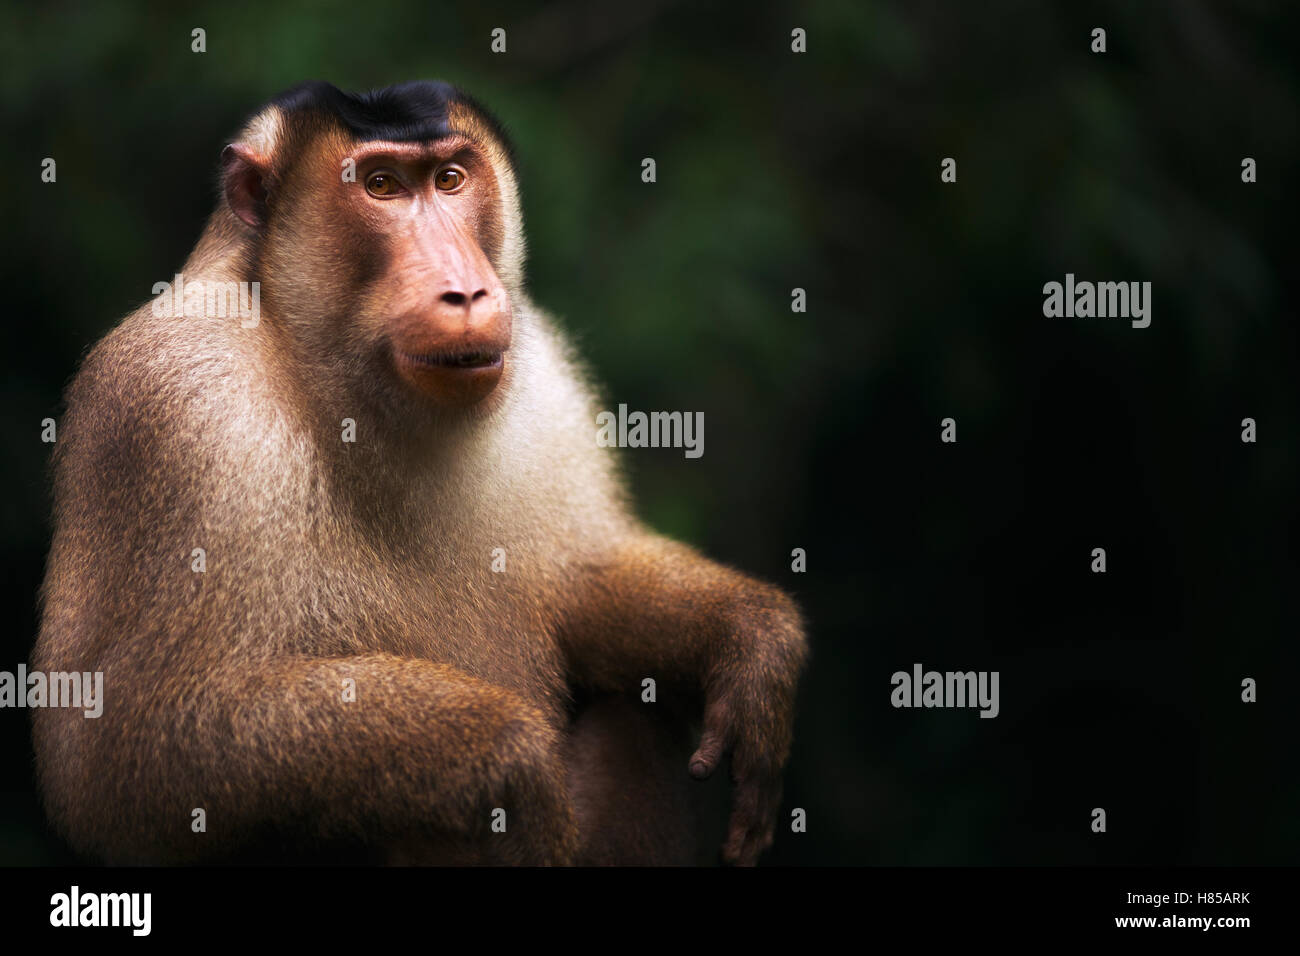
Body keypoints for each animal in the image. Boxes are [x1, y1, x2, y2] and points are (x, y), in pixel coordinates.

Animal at [32, 80, 807, 866]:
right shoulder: (173, 404)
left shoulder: (547, 379)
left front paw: (749, 641)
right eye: (381, 186)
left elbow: (580, 578)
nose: (466, 293)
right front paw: (506, 764)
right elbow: (123, 758)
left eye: (451, 178)